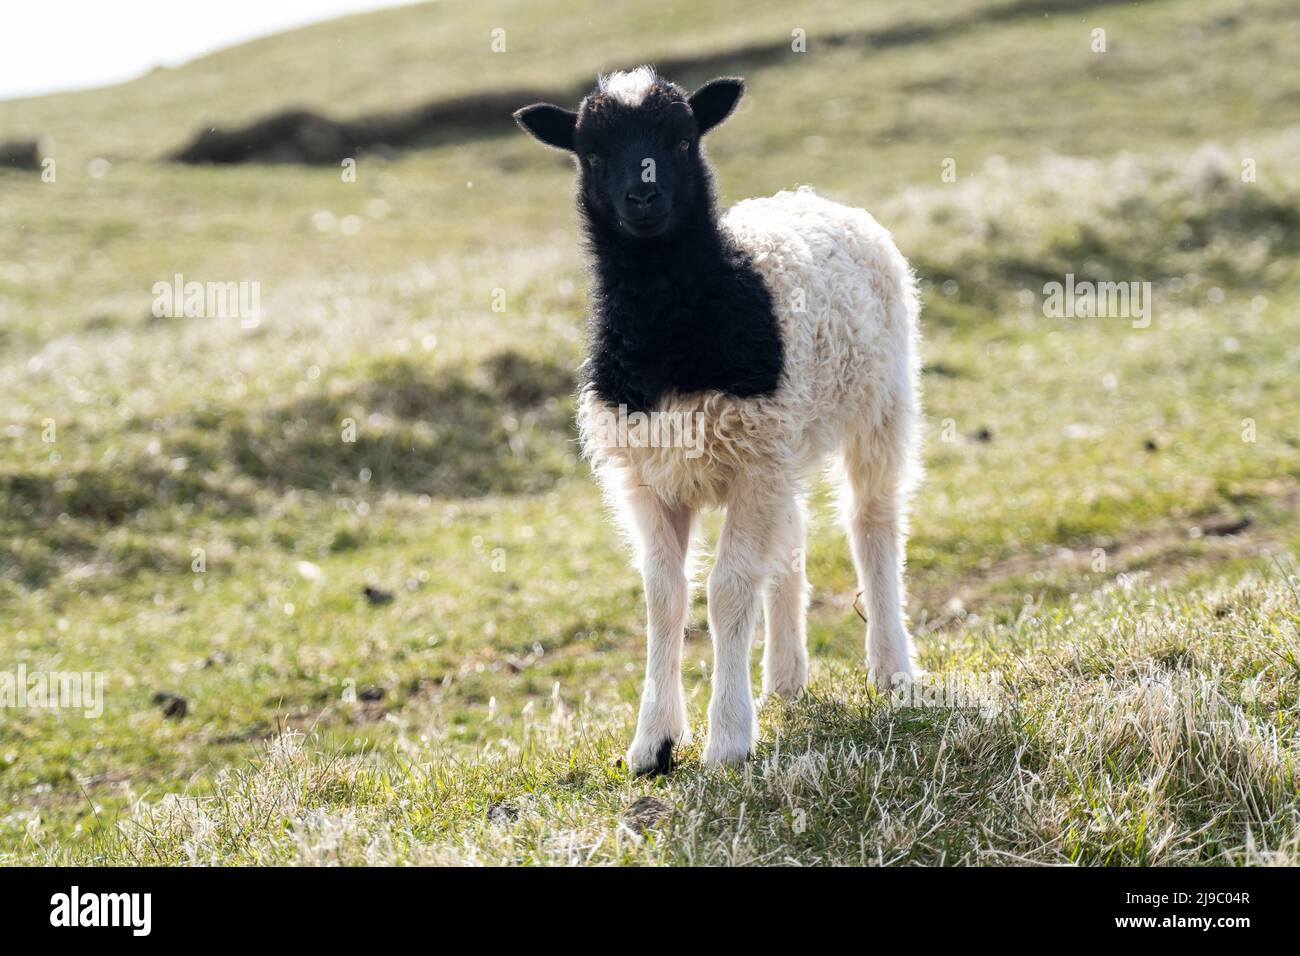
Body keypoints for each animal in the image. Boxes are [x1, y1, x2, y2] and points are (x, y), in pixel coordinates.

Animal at [514, 66, 922, 774]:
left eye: (682, 141)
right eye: (592, 153)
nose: (643, 196)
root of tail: (813, 199)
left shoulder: (752, 461)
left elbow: (727, 589)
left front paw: (727, 738)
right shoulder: (650, 473)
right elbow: (664, 595)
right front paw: (652, 741)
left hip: (879, 405)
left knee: (871, 523)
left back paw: (890, 667)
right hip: (785, 442)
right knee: (792, 537)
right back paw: (785, 677)